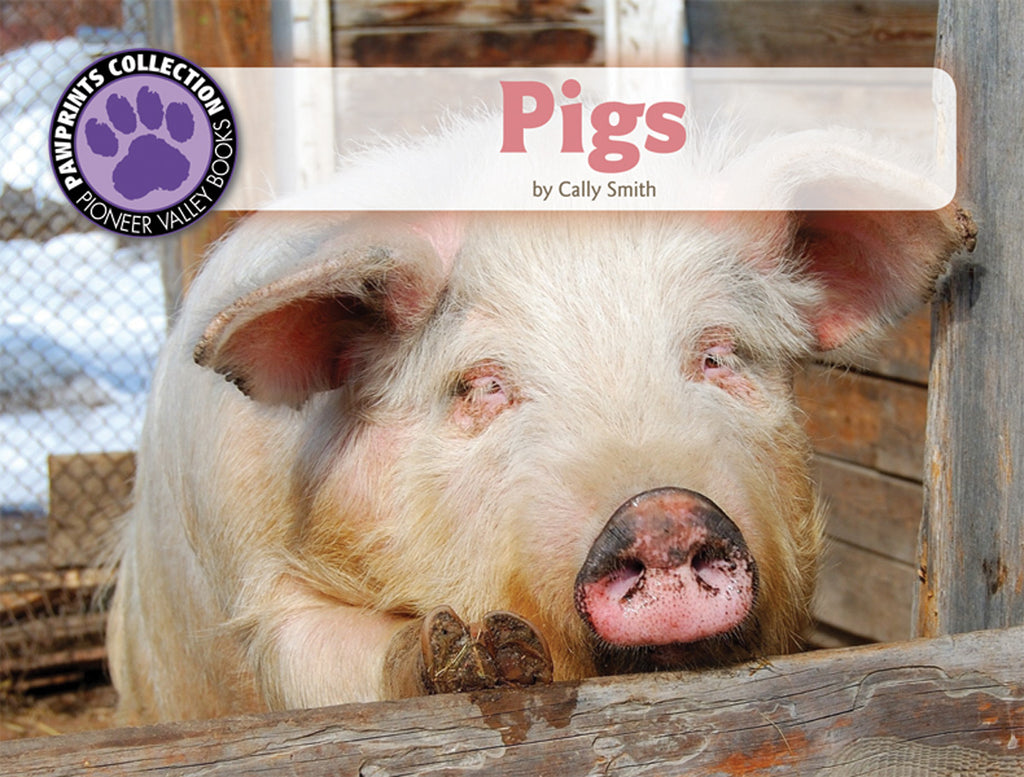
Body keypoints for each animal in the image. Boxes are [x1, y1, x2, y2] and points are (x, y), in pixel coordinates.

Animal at [106, 127, 976, 723]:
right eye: (483, 385)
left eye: (719, 354)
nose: (662, 512)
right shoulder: (262, 583)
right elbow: (314, 661)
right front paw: (474, 655)